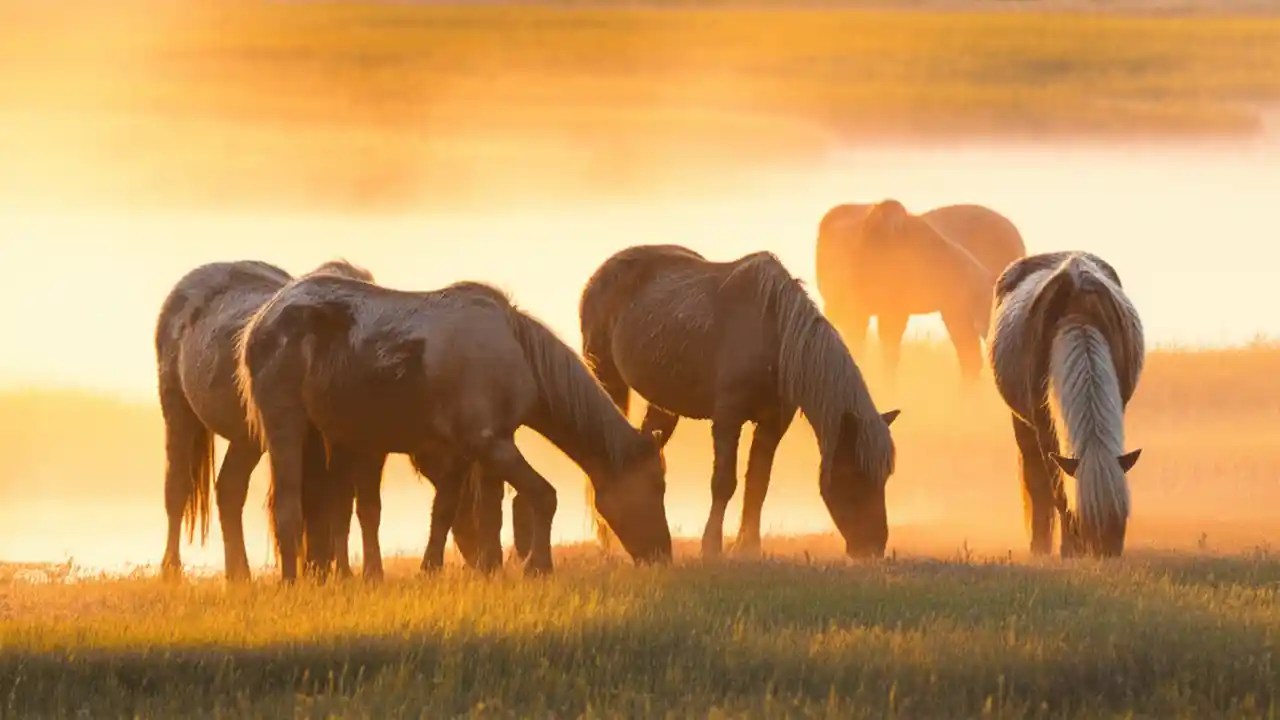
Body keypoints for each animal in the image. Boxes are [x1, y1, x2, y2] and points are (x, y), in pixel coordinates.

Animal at [154, 259, 374, 582]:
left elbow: (335, 506)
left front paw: (332, 573)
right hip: (179, 414)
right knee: (177, 488)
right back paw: (172, 570)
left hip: (247, 440)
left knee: (229, 490)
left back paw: (239, 576)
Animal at [235, 276, 672, 582]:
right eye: (656, 487)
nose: (663, 556)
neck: (517, 353)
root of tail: (263, 319)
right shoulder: (491, 444)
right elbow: (543, 496)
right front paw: (537, 567)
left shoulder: (470, 450)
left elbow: (453, 510)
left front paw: (447, 569)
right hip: (286, 425)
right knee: (288, 507)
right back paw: (292, 583)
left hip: (327, 436)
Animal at [578, 245, 899, 559]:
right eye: (854, 475)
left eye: (885, 476)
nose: (873, 547)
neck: (774, 335)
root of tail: (600, 274)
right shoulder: (727, 419)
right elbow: (723, 483)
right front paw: (711, 547)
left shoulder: (773, 423)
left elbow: (758, 483)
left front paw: (749, 546)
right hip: (608, 380)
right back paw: (606, 543)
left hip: (663, 404)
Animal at [988, 251, 1144, 558]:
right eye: (1084, 521)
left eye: (1122, 519)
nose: (1106, 557)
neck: (1081, 319)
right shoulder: (1042, 423)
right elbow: (1055, 488)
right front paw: (1068, 549)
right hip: (1022, 423)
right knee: (1036, 481)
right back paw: (1040, 546)